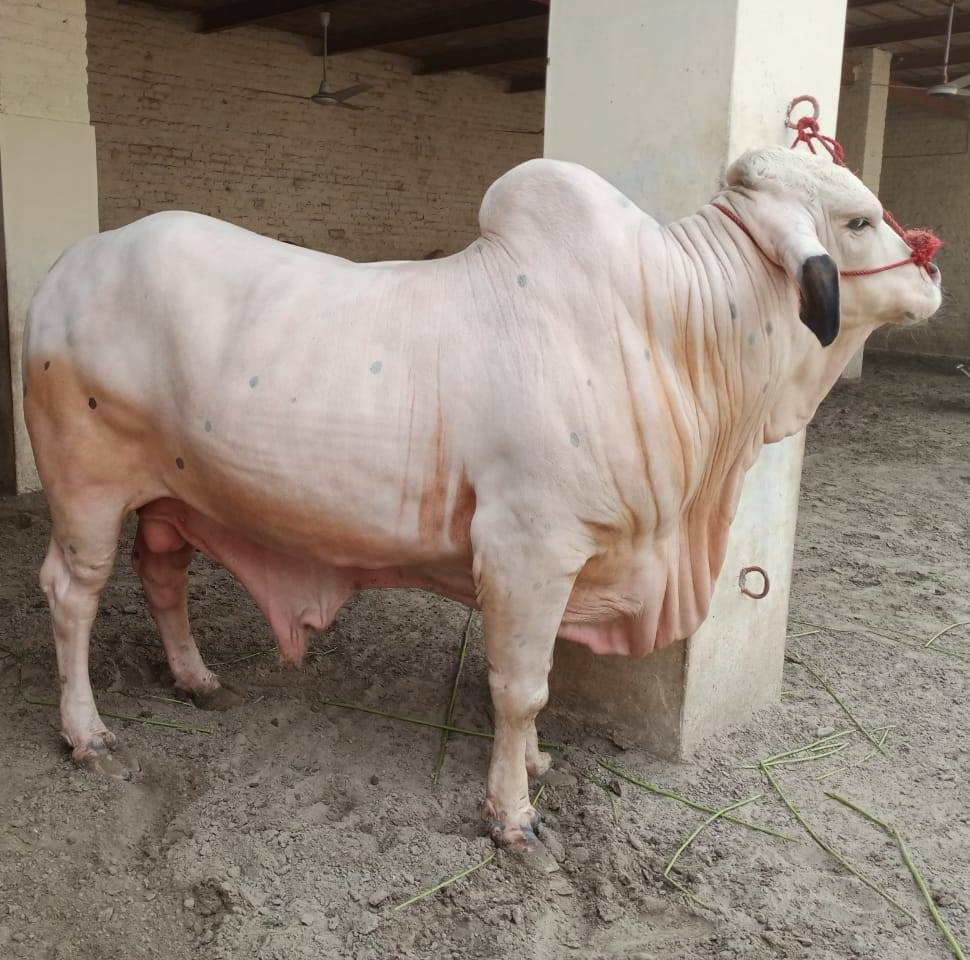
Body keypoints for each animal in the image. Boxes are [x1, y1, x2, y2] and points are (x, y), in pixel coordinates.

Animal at [23, 146, 941, 847]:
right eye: (860, 221)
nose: (932, 268)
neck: (670, 326)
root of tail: (67, 267)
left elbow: (535, 692)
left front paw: (532, 764)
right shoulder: (527, 551)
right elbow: (520, 687)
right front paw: (511, 812)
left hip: (168, 497)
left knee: (162, 574)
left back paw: (195, 677)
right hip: (86, 489)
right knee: (71, 595)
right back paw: (86, 731)